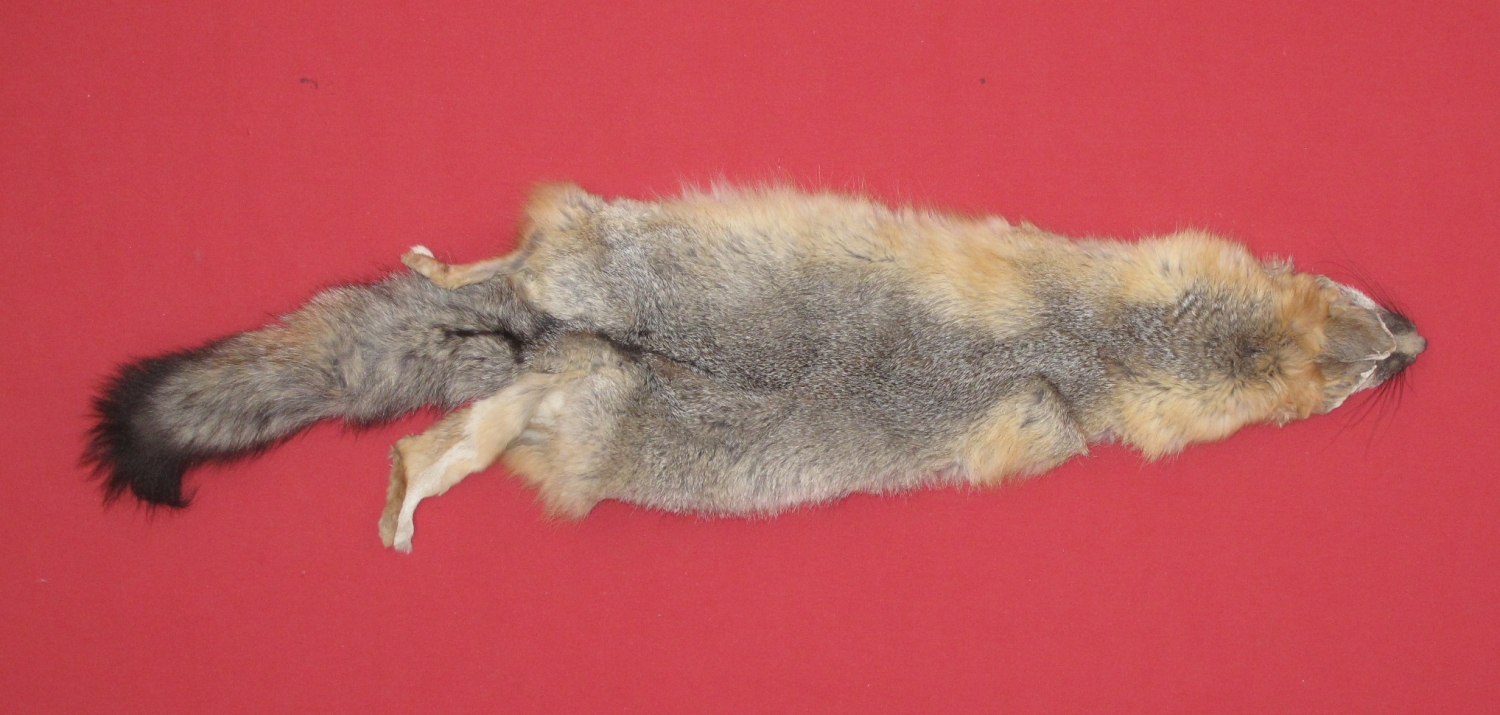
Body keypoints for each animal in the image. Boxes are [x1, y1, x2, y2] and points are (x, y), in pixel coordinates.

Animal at [87, 184, 1426, 552]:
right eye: (1370, 360)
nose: (1422, 342)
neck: (1095, 344)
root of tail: (563, 338)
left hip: (558, 349)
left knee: (466, 370)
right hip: (575, 323)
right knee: (435, 430)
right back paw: (408, 492)